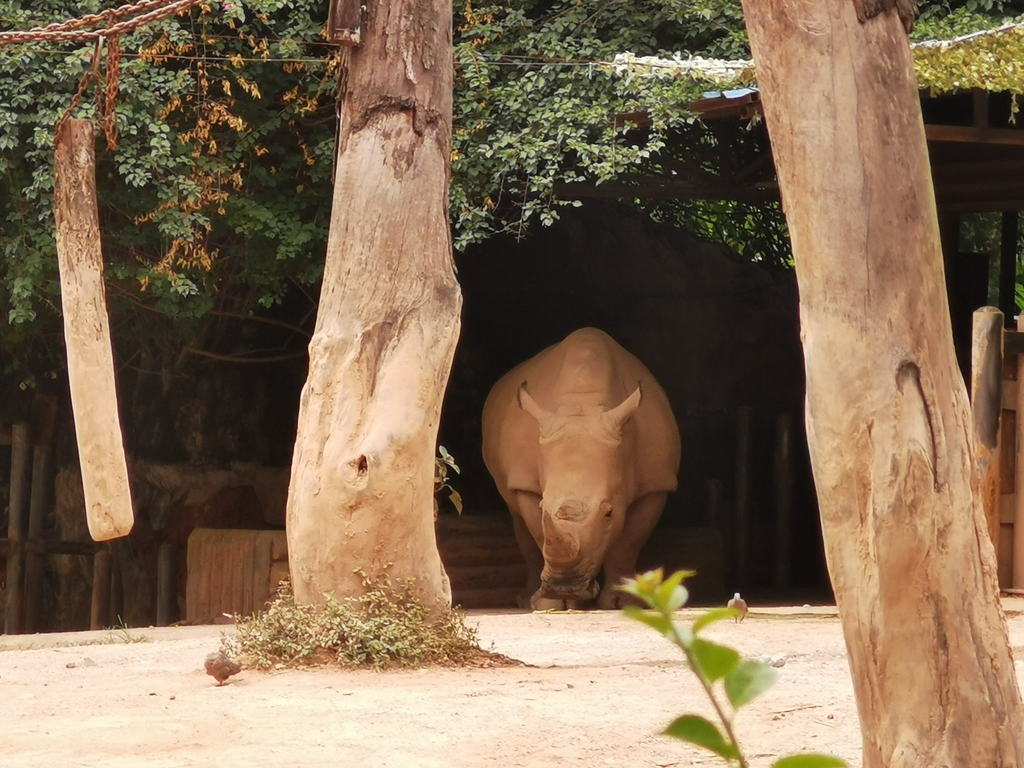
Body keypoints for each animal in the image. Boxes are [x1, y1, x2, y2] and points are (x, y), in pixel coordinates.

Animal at [482, 328, 681, 609]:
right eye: (542, 506)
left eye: (609, 513)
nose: (565, 586)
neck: (582, 406)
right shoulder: (527, 484)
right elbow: (539, 534)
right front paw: (549, 605)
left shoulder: (656, 484)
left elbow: (627, 545)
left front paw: (622, 604)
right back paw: (527, 601)